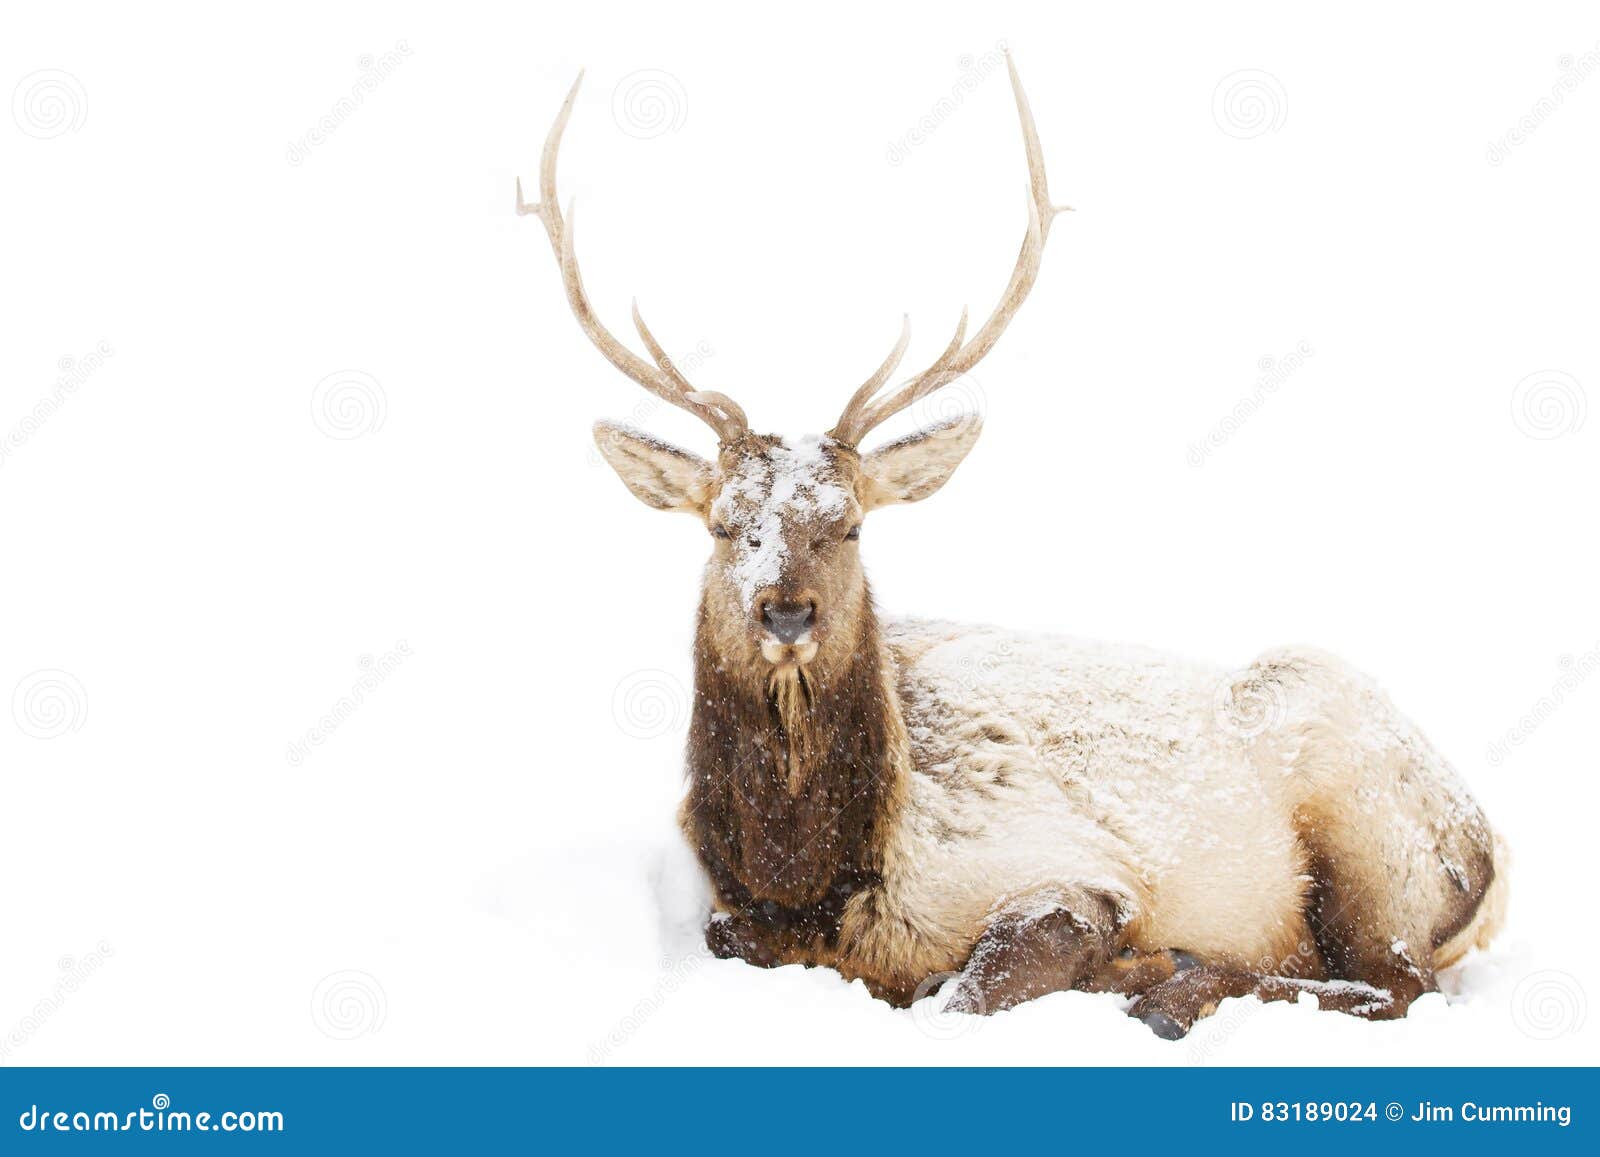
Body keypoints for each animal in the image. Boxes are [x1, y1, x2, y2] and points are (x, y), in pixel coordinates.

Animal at [517, 57, 1506, 1038]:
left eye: (852, 523)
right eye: (725, 523)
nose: (786, 609)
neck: (814, 872)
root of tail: (1489, 849)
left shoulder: (1069, 869)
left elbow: (965, 992)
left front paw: (1131, 964)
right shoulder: (737, 909)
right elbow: (727, 937)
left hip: (1367, 824)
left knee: (1395, 984)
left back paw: (1174, 988)